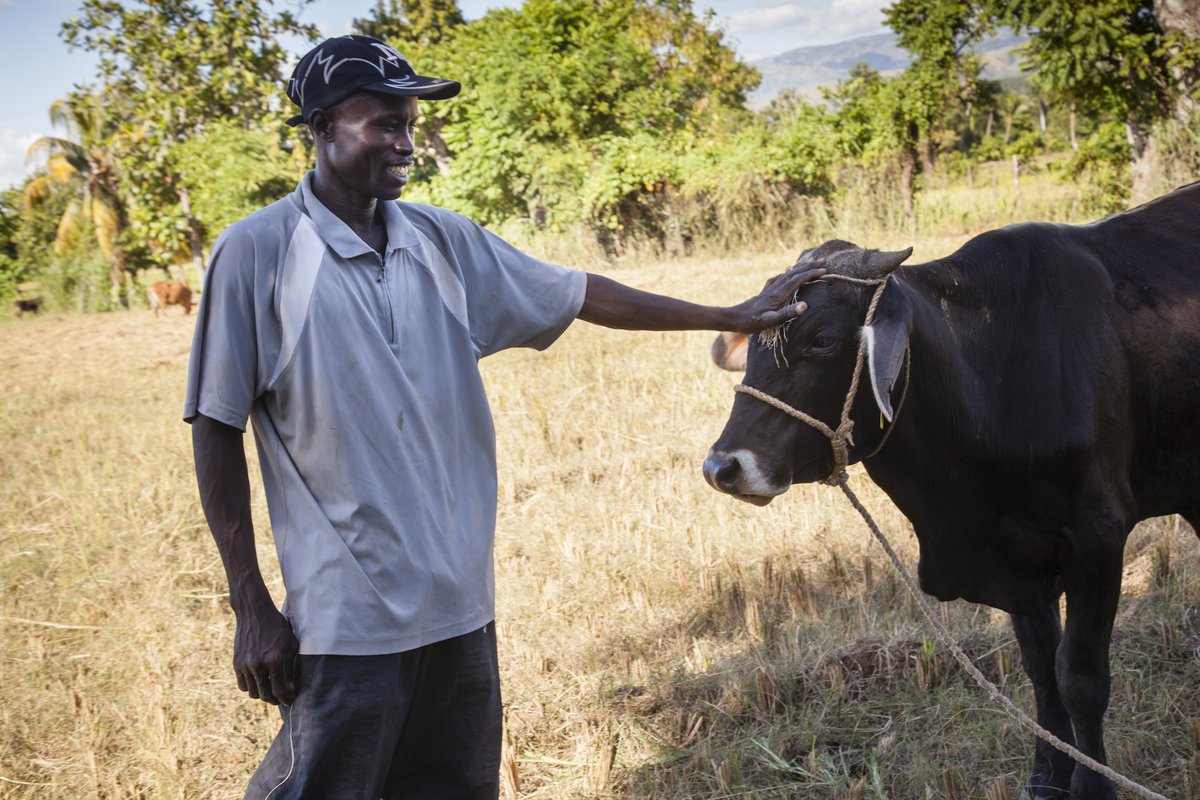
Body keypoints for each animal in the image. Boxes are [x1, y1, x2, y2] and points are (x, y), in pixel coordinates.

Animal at [702, 181, 1200, 799]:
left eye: (823, 340)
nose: (723, 467)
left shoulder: (1097, 538)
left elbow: (1080, 678)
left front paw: (1093, 786)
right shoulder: (1015, 559)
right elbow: (1041, 669)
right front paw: (1047, 776)